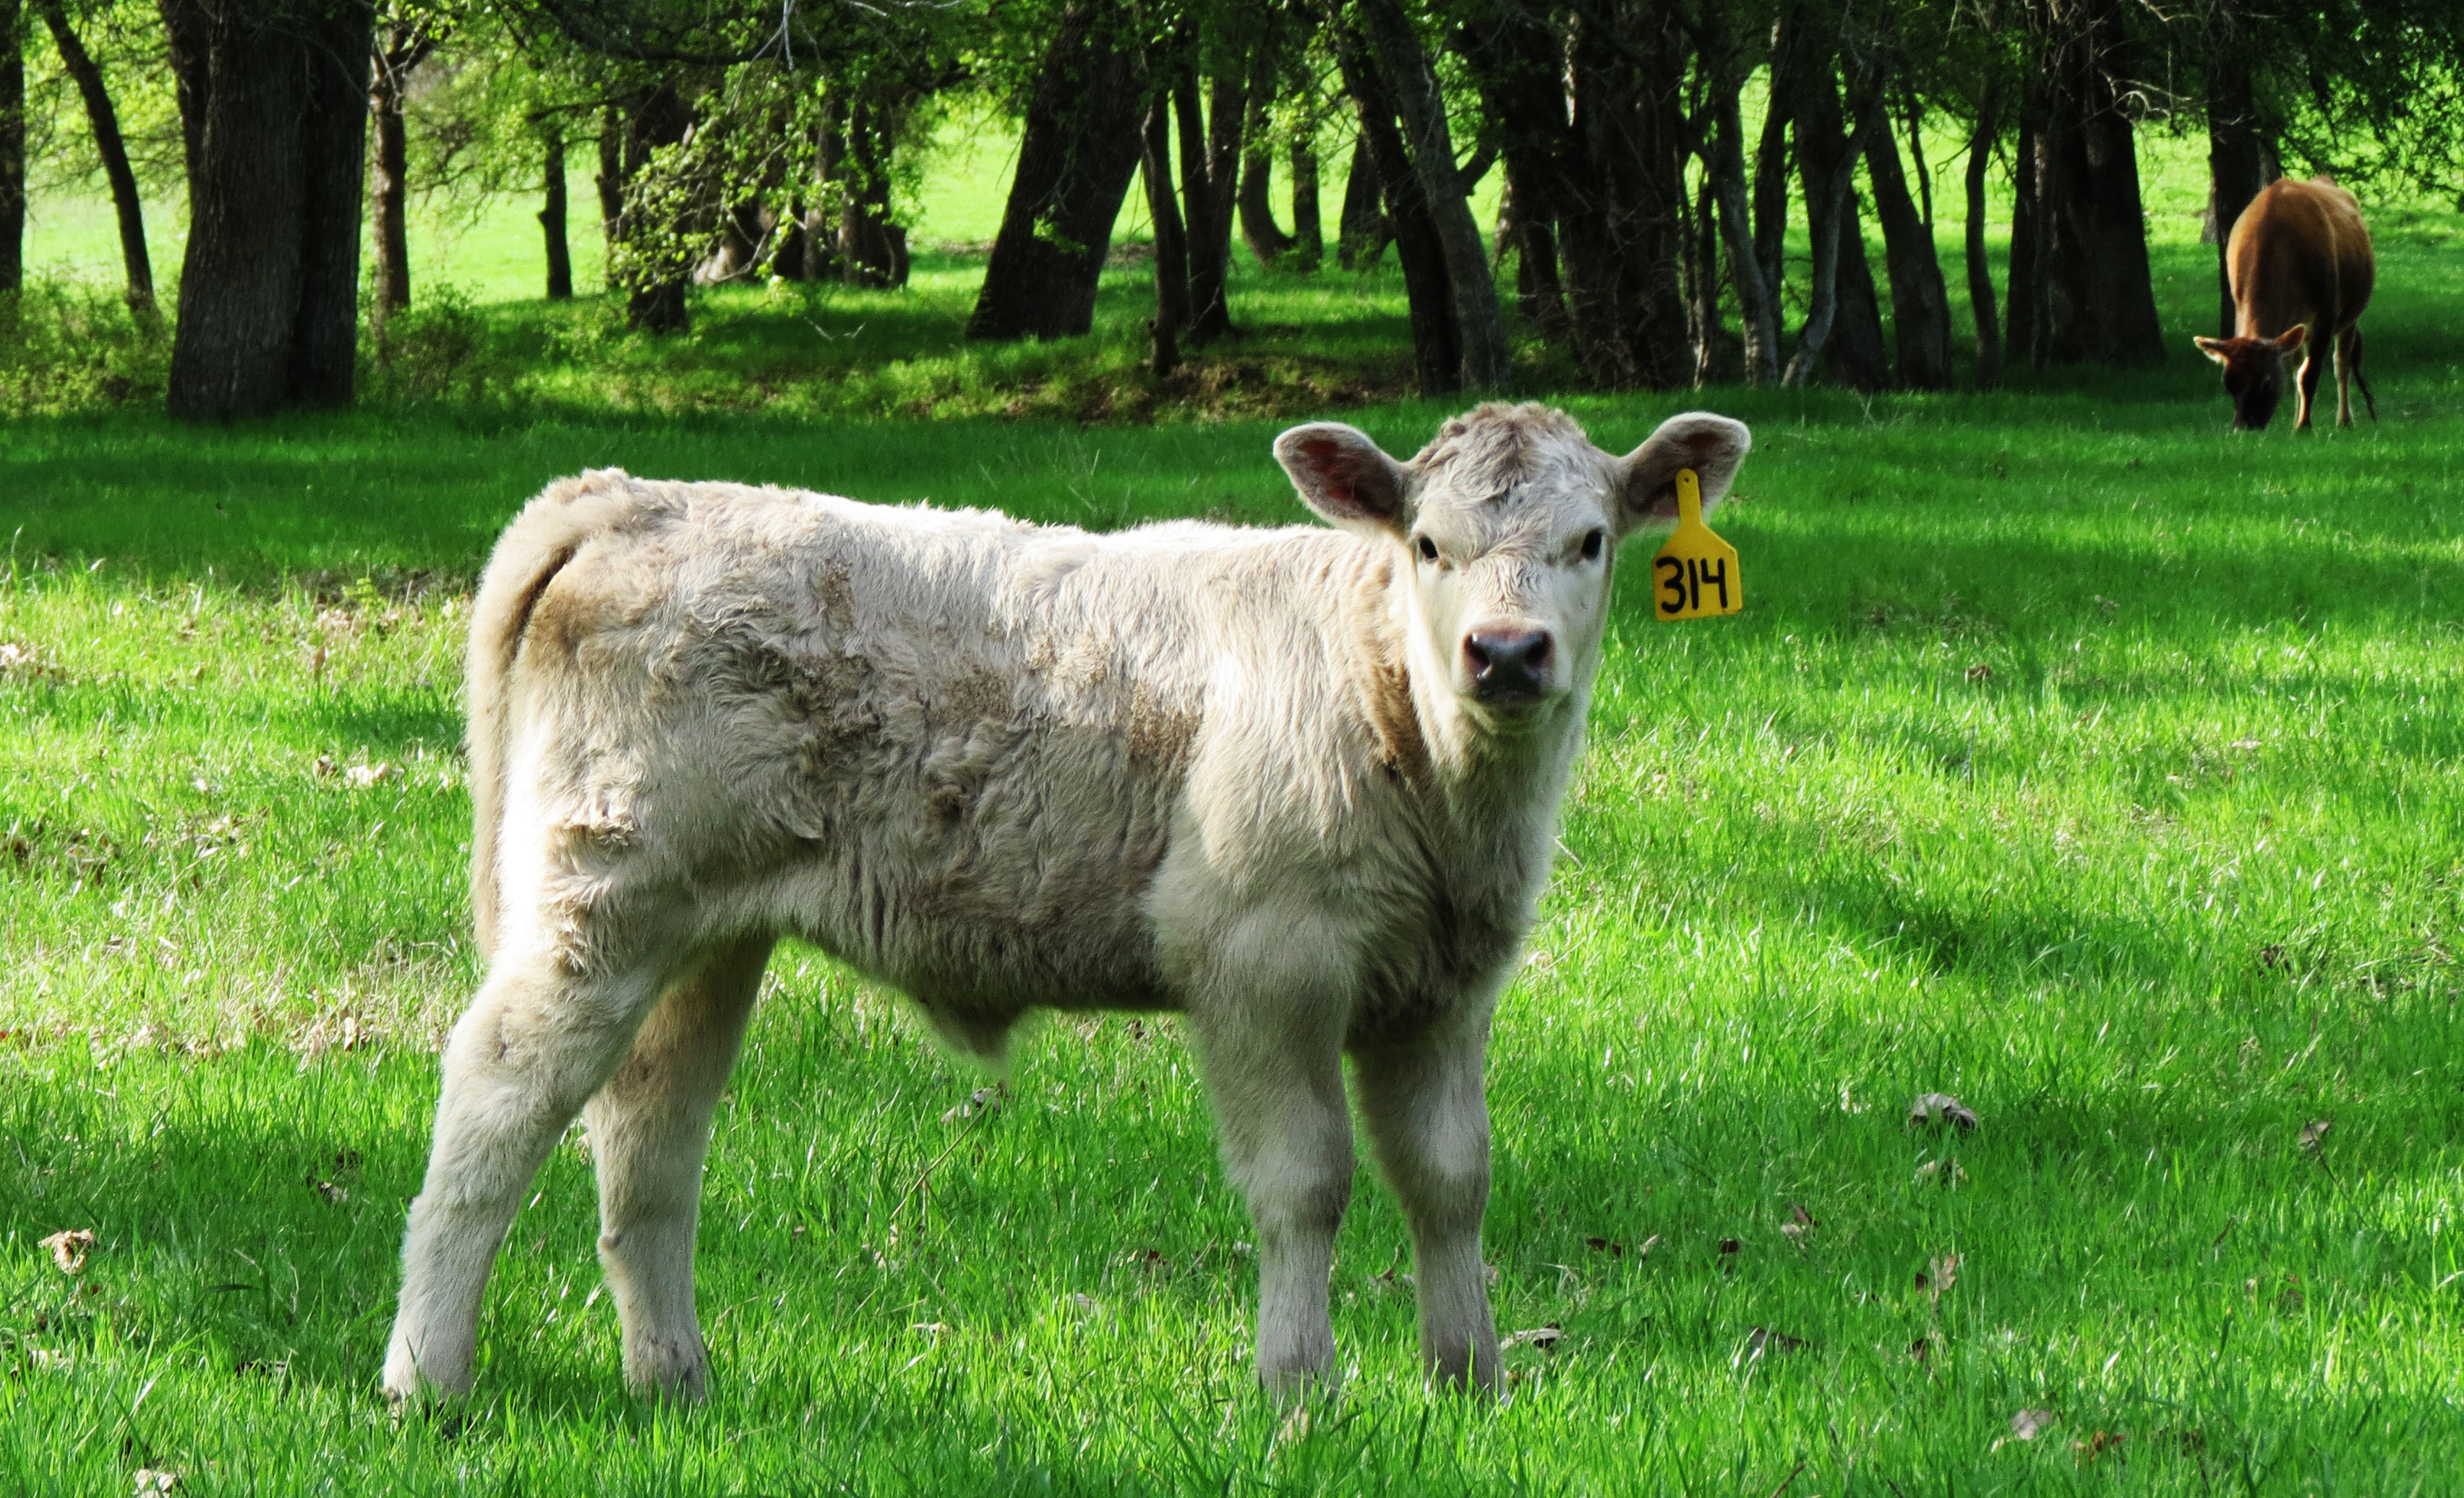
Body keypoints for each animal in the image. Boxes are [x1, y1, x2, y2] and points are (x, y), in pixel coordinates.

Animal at [381, 402, 1754, 1408]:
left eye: (1591, 541)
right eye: (1427, 547)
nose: (1507, 653)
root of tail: (634, 494)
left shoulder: (1445, 989)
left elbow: (1450, 1178)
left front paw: (1467, 1384)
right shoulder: (1263, 967)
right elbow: (1307, 1181)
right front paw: (1299, 1390)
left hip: (706, 937)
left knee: (649, 1145)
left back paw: (674, 1380)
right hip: (601, 903)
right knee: (497, 1101)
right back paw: (425, 1383)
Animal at [2194, 177, 2377, 432]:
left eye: (2266, 382)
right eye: (2228, 383)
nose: (2242, 427)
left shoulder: (2327, 314)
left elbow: (2310, 375)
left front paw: (2304, 427)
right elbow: (2297, 373)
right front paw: (2298, 423)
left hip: (2351, 313)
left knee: (2341, 363)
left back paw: (2344, 421)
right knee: (2298, 366)